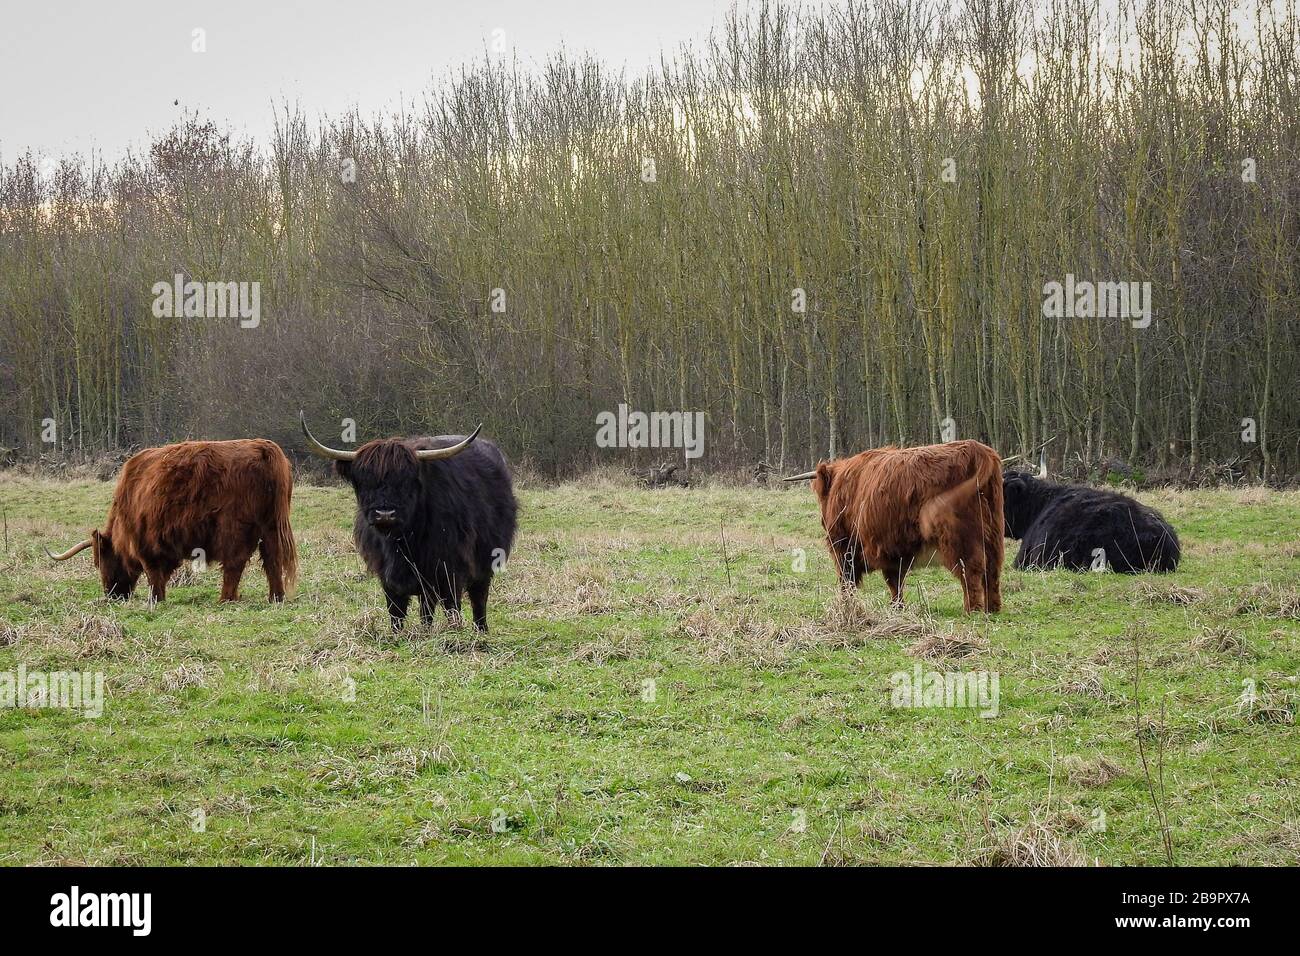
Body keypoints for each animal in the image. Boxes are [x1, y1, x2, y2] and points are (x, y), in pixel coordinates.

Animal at [47, 439, 298, 602]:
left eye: (101, 561)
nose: (112, 594)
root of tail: (265, 448)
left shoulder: (146, 544)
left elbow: (154, 575)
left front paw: (156, 599)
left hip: (233, 527)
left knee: (235, 563)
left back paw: (226, 599)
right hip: (271, 528)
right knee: (273, 560)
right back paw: (276, 597)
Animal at [301, 413, 517, 631]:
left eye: (405, 481)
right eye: (364, 482)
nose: (384, 513)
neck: (401, 542)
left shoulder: (450, 570)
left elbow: (452, 608)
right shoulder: (388, 577)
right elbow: (396, 613)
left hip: (486, 560)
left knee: (478, 598)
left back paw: (481, 630)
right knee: (427, 608)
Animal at [784, 440, 1004, 613]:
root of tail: (978, 450)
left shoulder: (847, 548)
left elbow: (856, 580)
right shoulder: (895, 551)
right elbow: (896, 581)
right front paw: (897, 606)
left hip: (959, 537)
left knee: (971, 571)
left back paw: (972, 609)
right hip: (993, 535)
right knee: (992, 571)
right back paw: (992, 608)